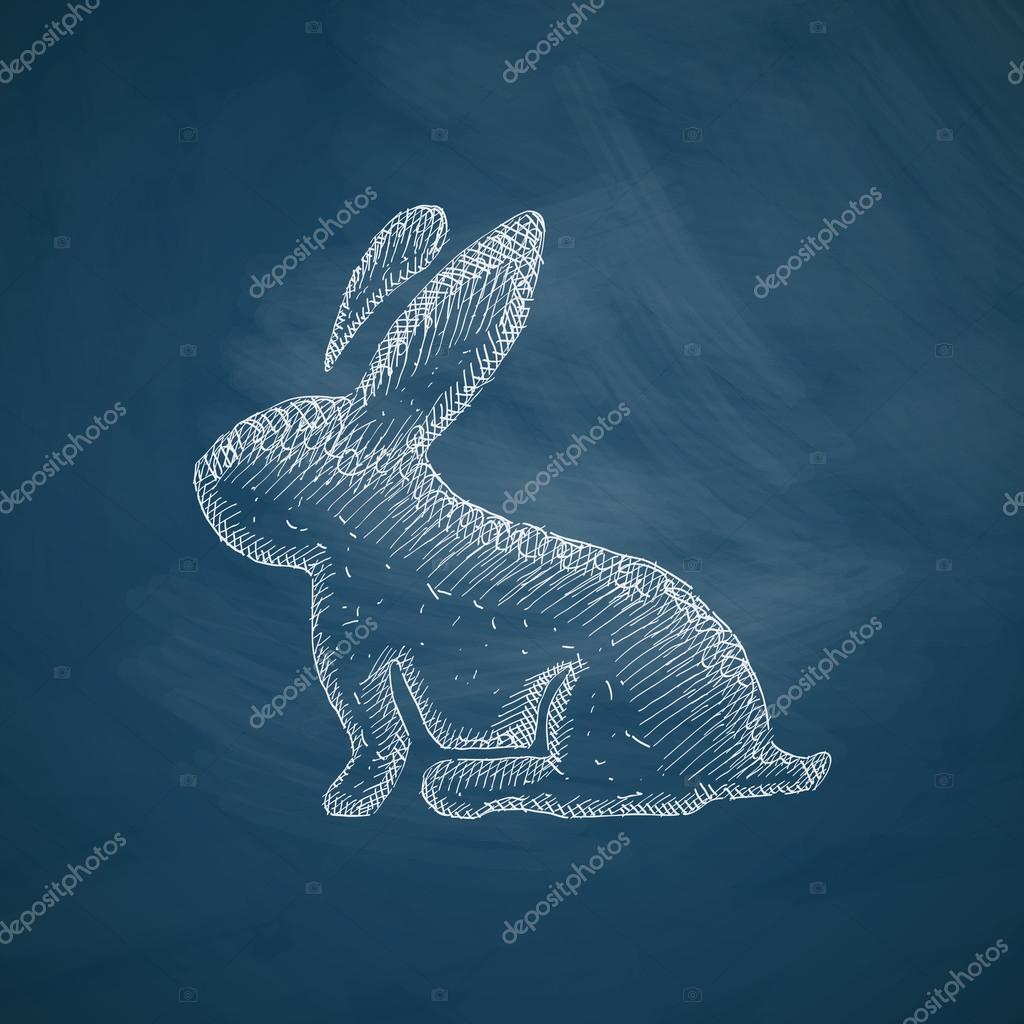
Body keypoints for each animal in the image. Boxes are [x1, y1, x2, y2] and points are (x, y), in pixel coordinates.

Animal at [195, 205, 831, 819]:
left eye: (287, 444)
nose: (206, 472)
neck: (377, 523)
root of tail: (753, 754)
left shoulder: (356, 655)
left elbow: (375, 732)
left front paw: (349, 801)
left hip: (591, 704)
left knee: (606, 790)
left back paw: (459, 786)